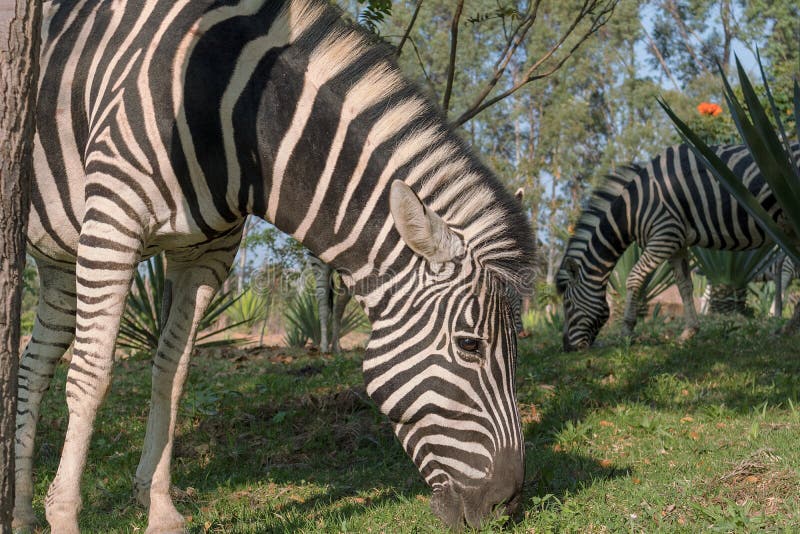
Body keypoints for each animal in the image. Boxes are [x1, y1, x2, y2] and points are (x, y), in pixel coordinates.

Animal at [16, 1, 536, 531]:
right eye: (470, 345)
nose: (508, 504)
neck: (239, 112)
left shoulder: (205, 255)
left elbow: (172, 374)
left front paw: (160, 509)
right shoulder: (113, 222)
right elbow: (92, 375)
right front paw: (65, 516)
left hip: (60, 261)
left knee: (32, 368)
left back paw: (19, 511)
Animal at [557, 142, 800, 351]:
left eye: (567, 304)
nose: (567, 348)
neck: (634, 208)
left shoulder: (665, 235)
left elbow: (634, 277)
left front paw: (627, 330)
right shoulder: (677, 243)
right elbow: (684, 285)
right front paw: (689, 331)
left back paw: (789, 326)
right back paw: (790, 327)